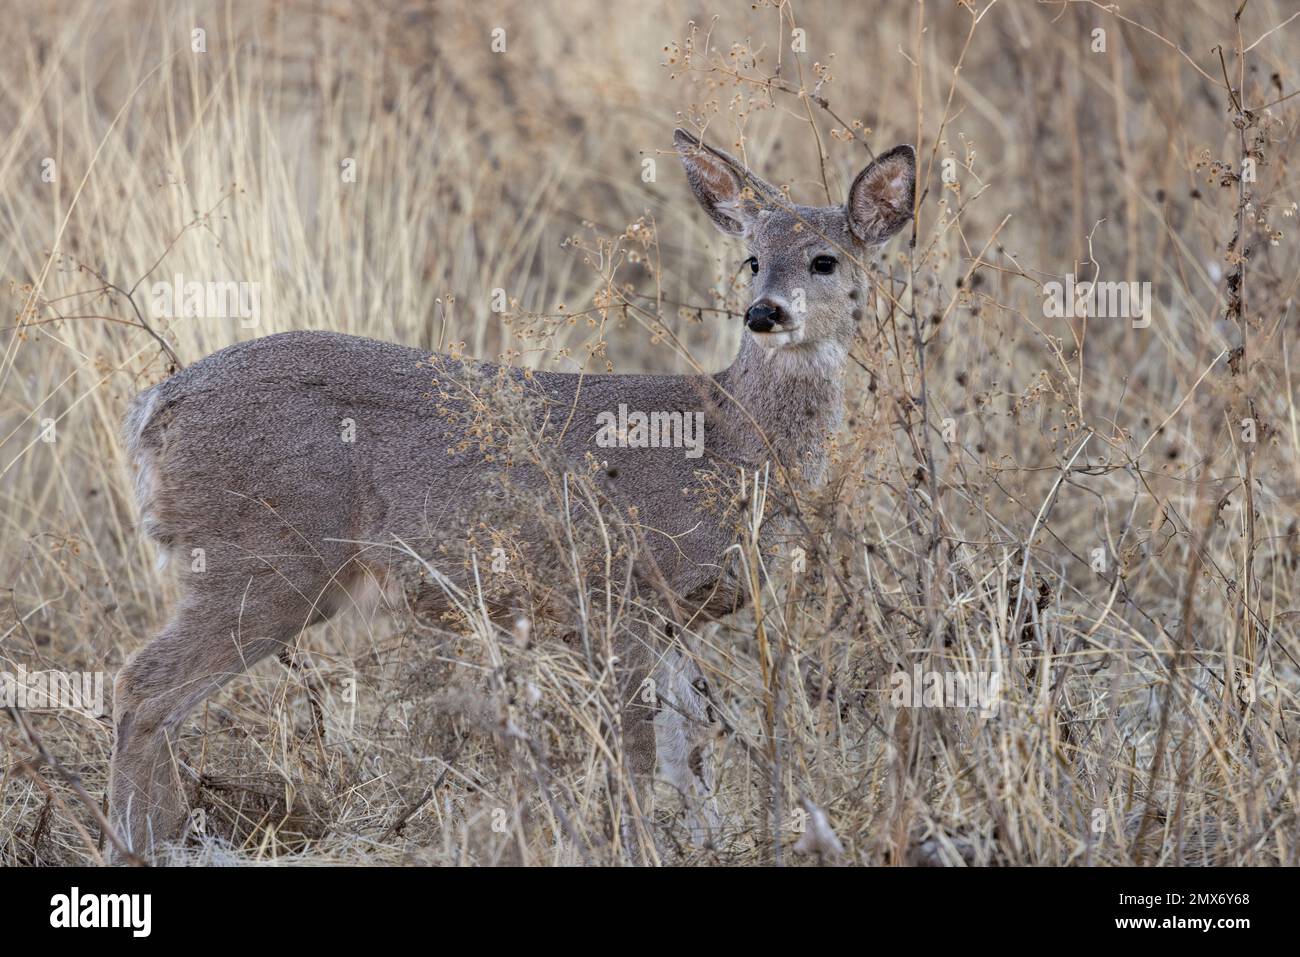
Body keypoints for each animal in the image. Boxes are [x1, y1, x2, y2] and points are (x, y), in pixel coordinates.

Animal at [108, 128, 916, 862]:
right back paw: (141, 846)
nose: (764, 313)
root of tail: (152, 409)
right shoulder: (618, 592)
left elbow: (691, 752)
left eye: (825, 259)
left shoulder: (673, 616)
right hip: (266, 557)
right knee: (142, 686)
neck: (729, 440)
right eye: (752, 260)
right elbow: (637, 753)